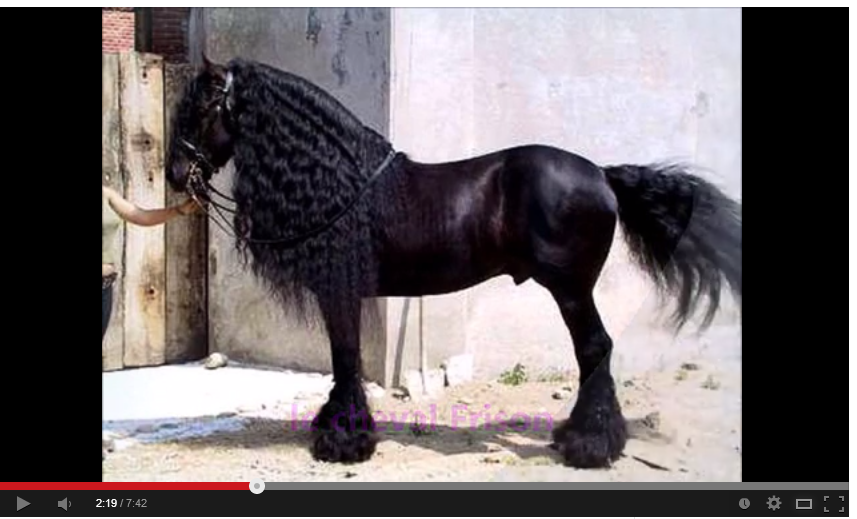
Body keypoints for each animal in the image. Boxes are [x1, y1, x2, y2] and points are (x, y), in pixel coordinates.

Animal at [165, 55, 742, 469]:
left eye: (202, 109)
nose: (173, 174)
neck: (344, 185)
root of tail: (601, 174)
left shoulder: (339, 290)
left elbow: (346, 357)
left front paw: (344, 441)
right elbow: (345, 359)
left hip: (572, 289)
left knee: (595, 350)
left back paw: (587, 446)